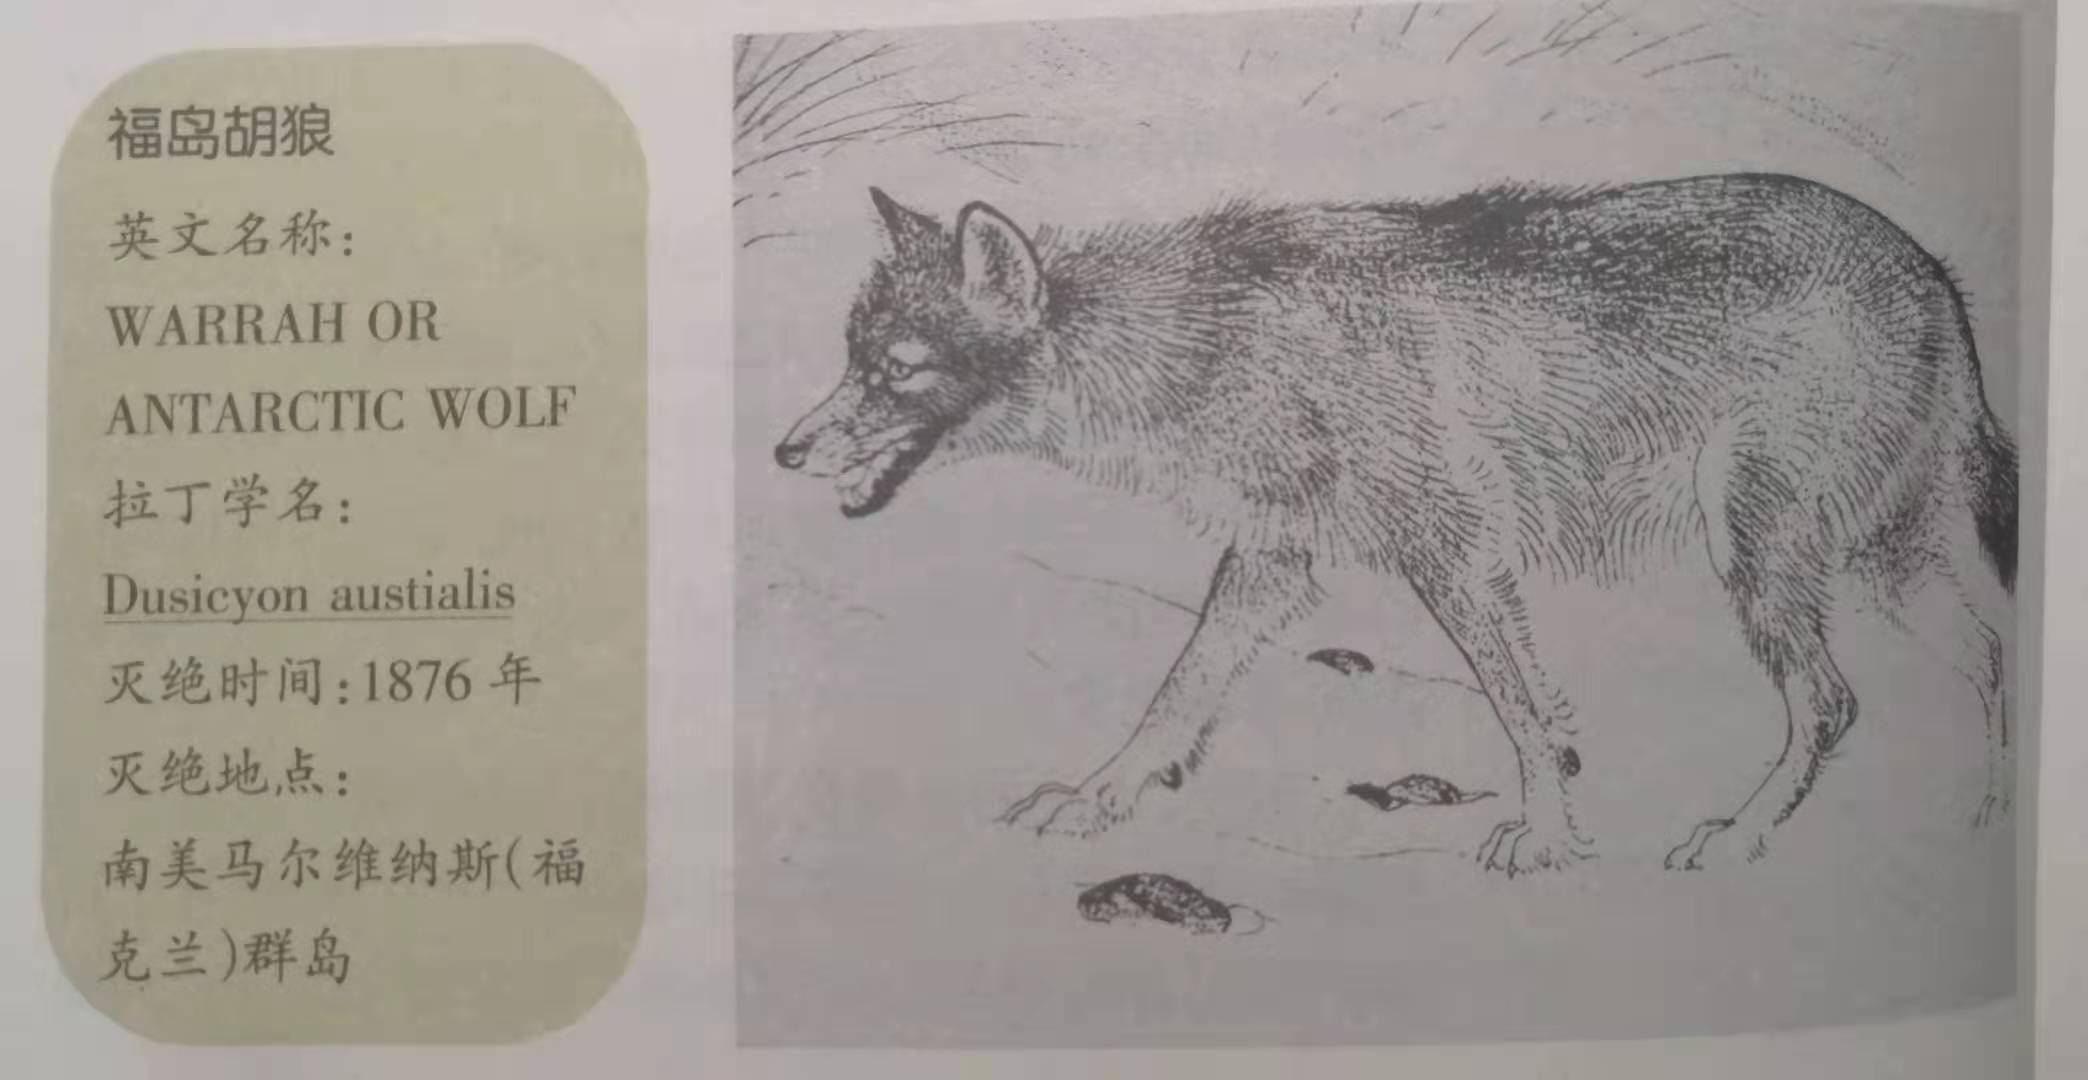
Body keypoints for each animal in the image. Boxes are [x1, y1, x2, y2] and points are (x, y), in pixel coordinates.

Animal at [772, 176, 2018, 873]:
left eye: (895, 372)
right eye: (850, 361)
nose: (784, 453)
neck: (1219, 343)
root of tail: (1935, 275)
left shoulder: (1455, 551)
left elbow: (1524, 712)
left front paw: (1549, 840)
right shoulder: (1272, 565)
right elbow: (1174, 697)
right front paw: (1093, 800)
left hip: (1766, 557)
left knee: (1836, 700)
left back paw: (1742, 836)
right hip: (1878, 566)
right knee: (1992, 660)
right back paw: (1987, 819)